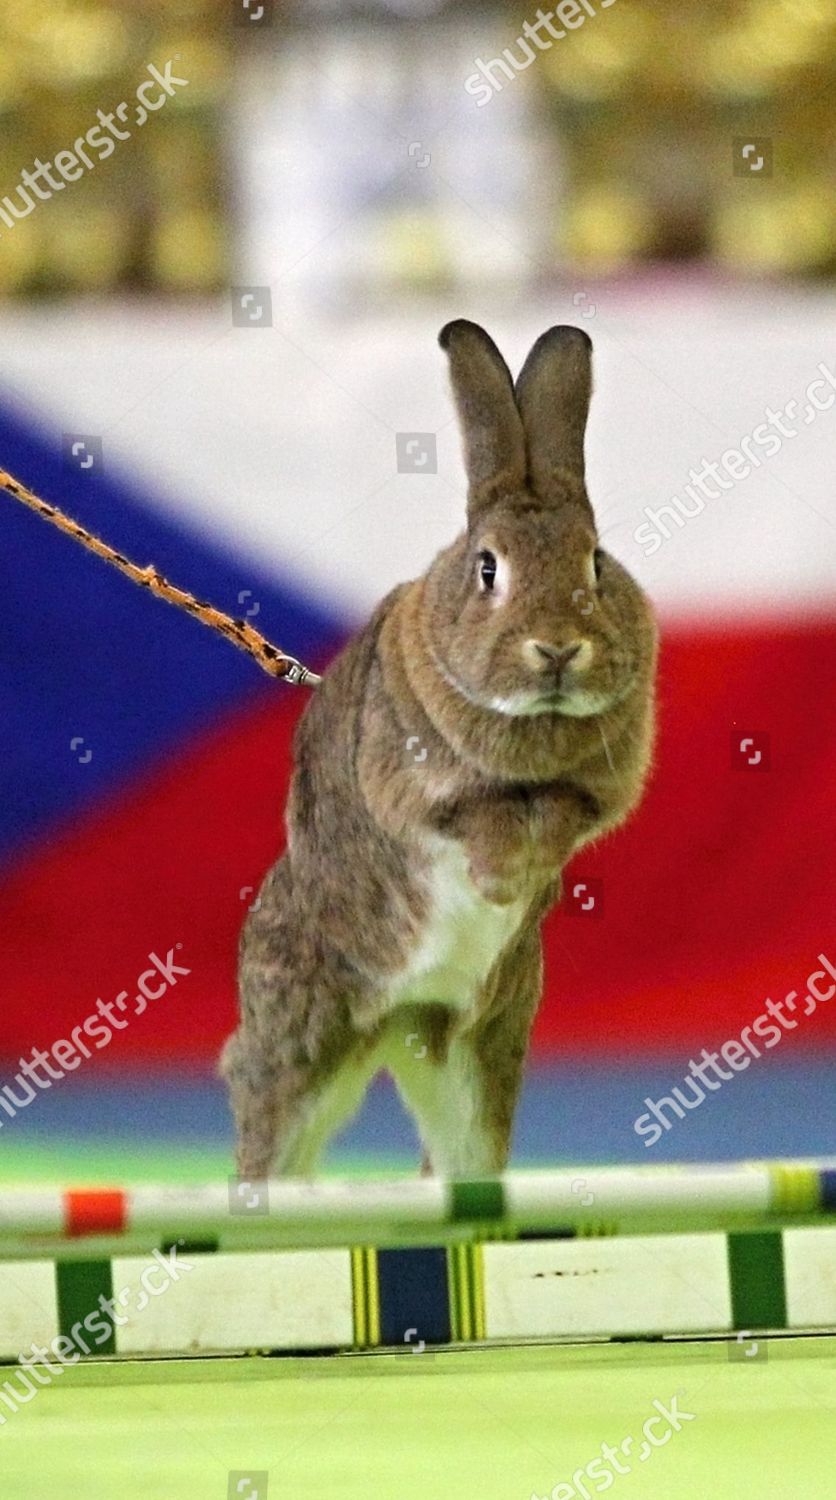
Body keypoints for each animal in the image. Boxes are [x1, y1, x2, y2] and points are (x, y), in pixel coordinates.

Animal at [221, 320, 657, 1180]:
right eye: (489, 567)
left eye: (596, 562)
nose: (559, 649)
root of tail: (402, 1021)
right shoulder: (419, 790)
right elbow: (475, 821)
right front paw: (500, 881)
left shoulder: (591, 791)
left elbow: (559, 815)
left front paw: (526, 878)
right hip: (302, 1043)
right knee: (269, 1146)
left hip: (478, 1064)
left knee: (457, 1167)